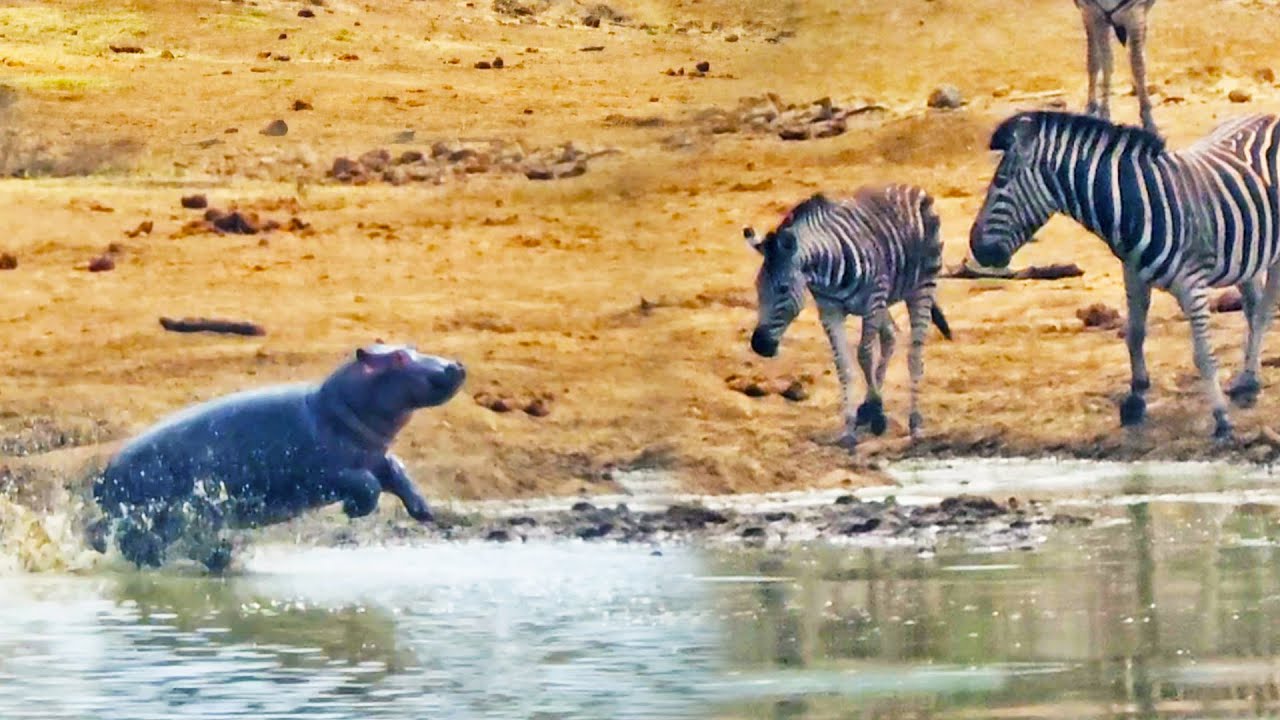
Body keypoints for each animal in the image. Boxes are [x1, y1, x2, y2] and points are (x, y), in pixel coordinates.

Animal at [88, 343, 466, 572]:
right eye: (398, 357)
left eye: (412, 346)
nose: (456, 365)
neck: (334, 407)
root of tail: (106, 475)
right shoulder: (324, 472)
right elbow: (366, 484)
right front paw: (352, 510)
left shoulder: (375, 455)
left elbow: (397, 472)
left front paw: (424, 511)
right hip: (157, 515)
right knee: (138, 543)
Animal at [744, 186, 952, 445]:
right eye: (757, 287)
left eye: (783, 289)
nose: (759, 346)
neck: (826, 269)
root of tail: (907, 187)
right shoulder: (830, 310)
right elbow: (843, 364)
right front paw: (851, 428)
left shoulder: (873, 302)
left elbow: (864, 355)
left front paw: (877, 414)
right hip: (886, 299)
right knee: (890, 337)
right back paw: (866, 409)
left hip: (922, 286)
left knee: (914, 354)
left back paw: (914, 423)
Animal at [969, 109, 1280, 441]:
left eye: (1001, 182)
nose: (975, 247)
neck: (1137, 205)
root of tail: (1269, 115)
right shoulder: (1132, 273)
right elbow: (1135, 334)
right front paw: (1135, 399)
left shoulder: (1192, 284)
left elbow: (1203, 355)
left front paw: (1221, 419)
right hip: (1247, 252)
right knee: (1252, 306)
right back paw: (1247, 381)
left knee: (1263, 310)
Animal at [1075, 0, 1160, 134]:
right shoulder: (1094, 14)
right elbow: (1105, 63)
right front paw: (1104, 113)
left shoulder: (1135, 14)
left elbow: (1138, 65)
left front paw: (1148, 120)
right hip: (1090, 17)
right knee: (1093, 59)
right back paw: (1091, 107)